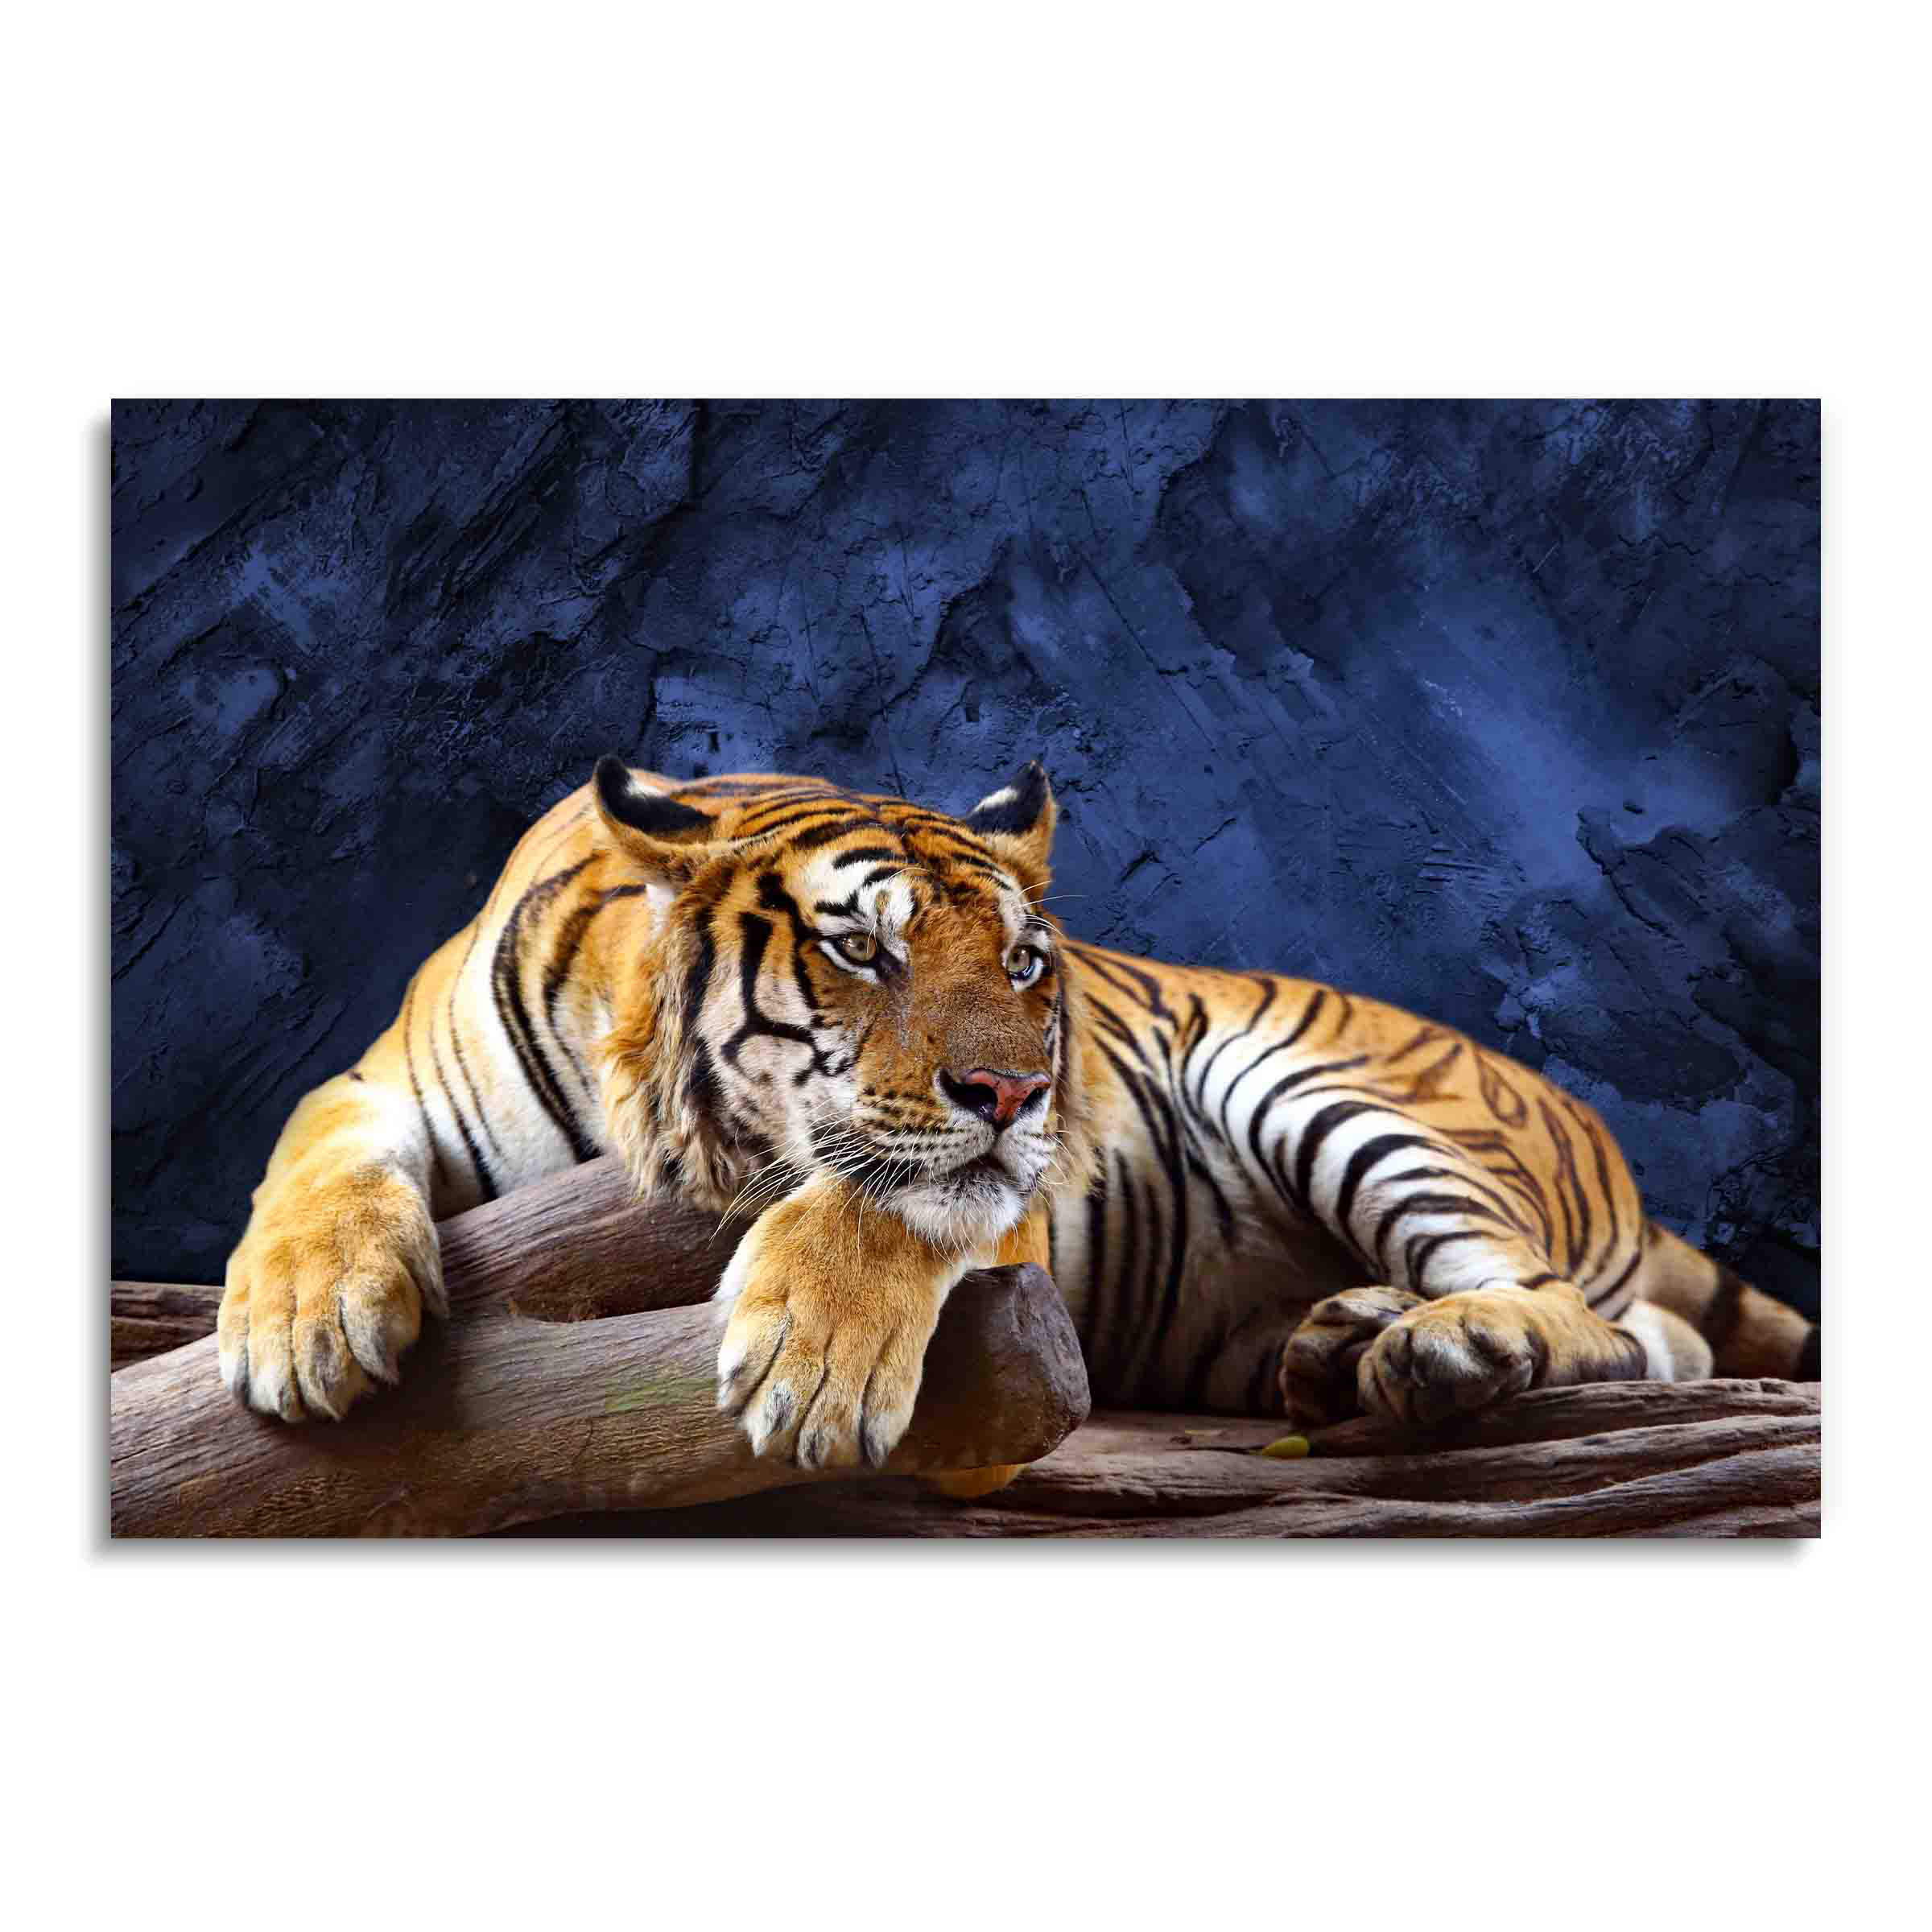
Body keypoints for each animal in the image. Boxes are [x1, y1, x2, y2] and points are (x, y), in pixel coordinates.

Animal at [216, 755, 1818, 1488]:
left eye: (1027, 964)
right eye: (864, 949)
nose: (1021, 1092)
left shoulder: (999, 1207)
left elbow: (892, 1197)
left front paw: (811, 1367)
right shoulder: (379, 1081)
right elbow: (312, 1162)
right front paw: (305, 1323)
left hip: (1326, 1091)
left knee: (1592, 1323)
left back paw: (1439, 1348)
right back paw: (1345, 1340)